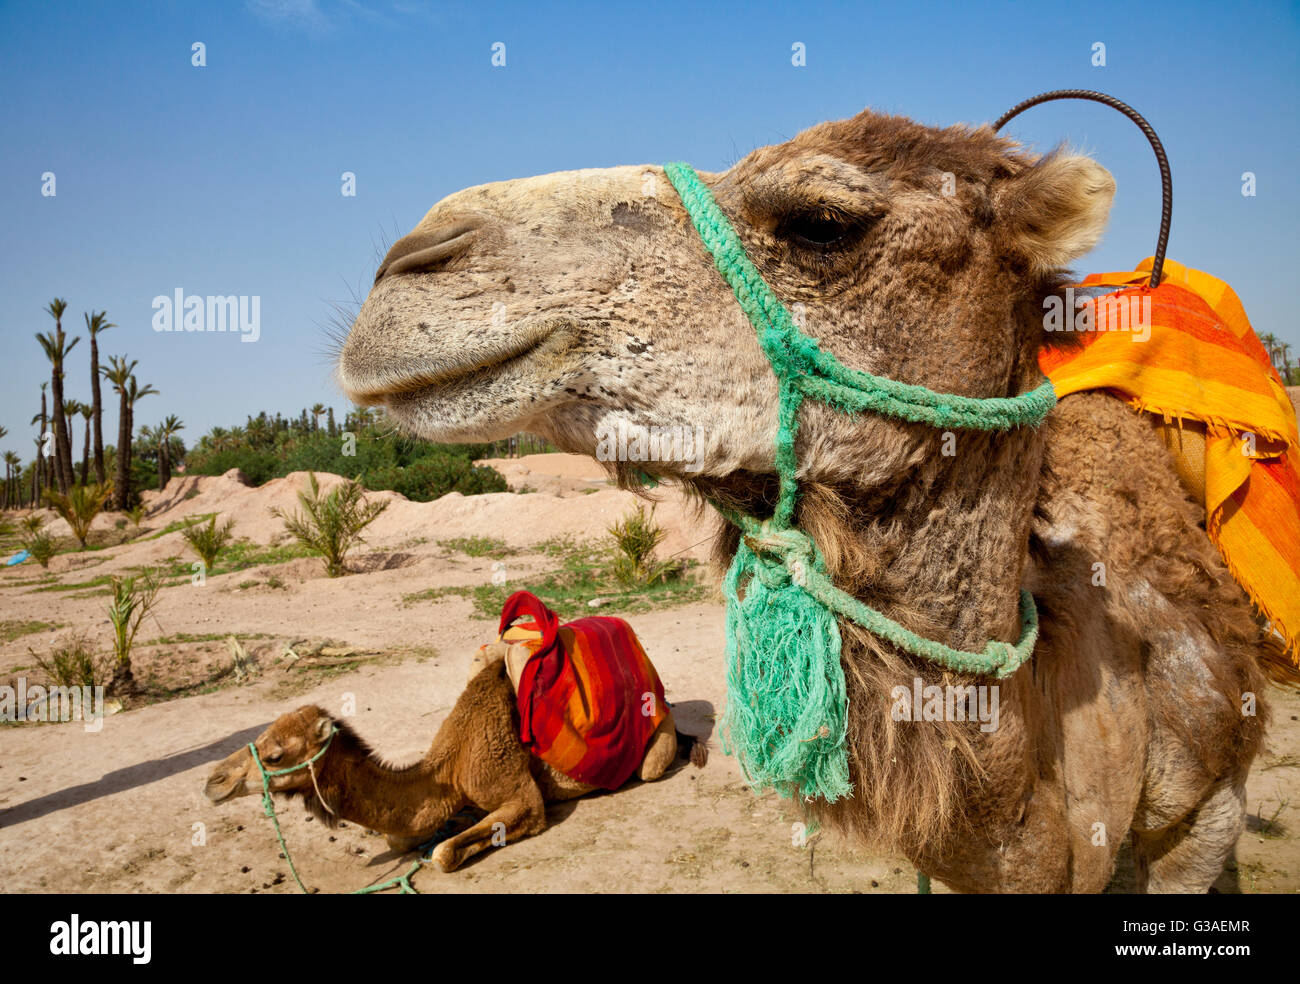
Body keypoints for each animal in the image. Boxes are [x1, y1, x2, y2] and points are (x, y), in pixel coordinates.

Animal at [205, 647, 703, 873]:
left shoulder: (518, 794)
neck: (449, 766)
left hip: (653, 735)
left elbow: (444, 854)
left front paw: (451, 843)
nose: (213, 781)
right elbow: (402, 838)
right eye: (259, 738)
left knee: (654, 762)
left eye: (274, 755)